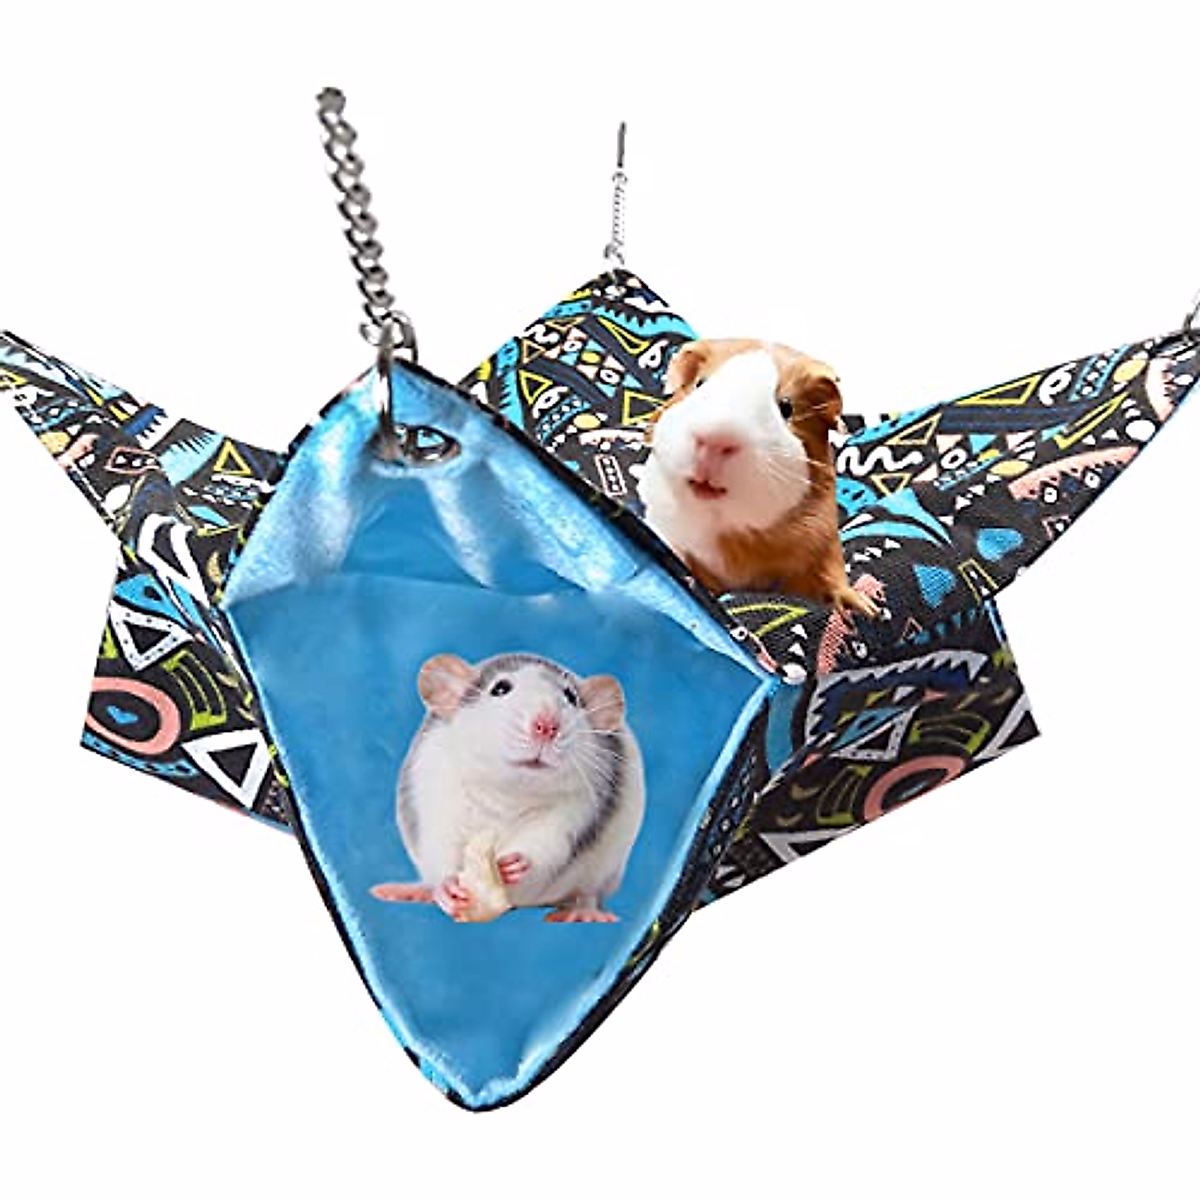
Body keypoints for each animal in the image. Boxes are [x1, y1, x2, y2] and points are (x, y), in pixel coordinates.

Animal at [371, 652, 646, 924]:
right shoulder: (434, 785)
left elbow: (552, 842)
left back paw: (583, 911)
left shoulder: (581, 806)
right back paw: (414, 891)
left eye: (571, 697)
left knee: (588, 892)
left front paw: (520, 861)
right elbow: (439, 842)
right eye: (500, 688)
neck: (508, 794)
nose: (547, 726)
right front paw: (446, 885)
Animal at [636, 338, 879, 618]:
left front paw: (866, 609)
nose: (716, 438)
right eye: (700, 383)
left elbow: (832, 579)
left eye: (786, 407)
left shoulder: (823, 547)